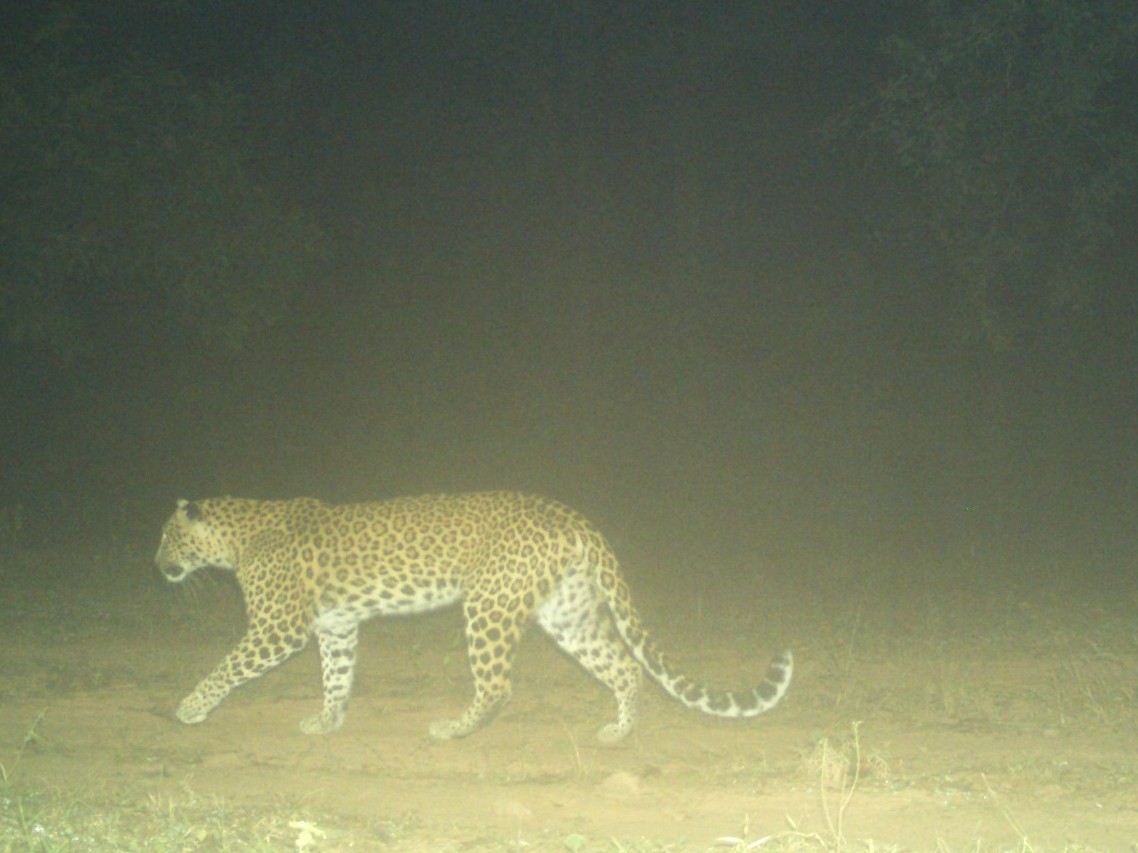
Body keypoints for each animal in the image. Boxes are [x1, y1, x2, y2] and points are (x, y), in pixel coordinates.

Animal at [155, 491, 792, 742]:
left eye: (166, 538)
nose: (157, 566)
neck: (237, 537)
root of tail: (573, 516)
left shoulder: (277, 628)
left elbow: (226, 667)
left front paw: (188, 707)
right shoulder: (337, 625)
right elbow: (336, 676)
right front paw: (328, 721)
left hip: (487, 604)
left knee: (498, 685)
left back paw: (454, 729)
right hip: (569, 613)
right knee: (624, 666)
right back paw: (619, 732)